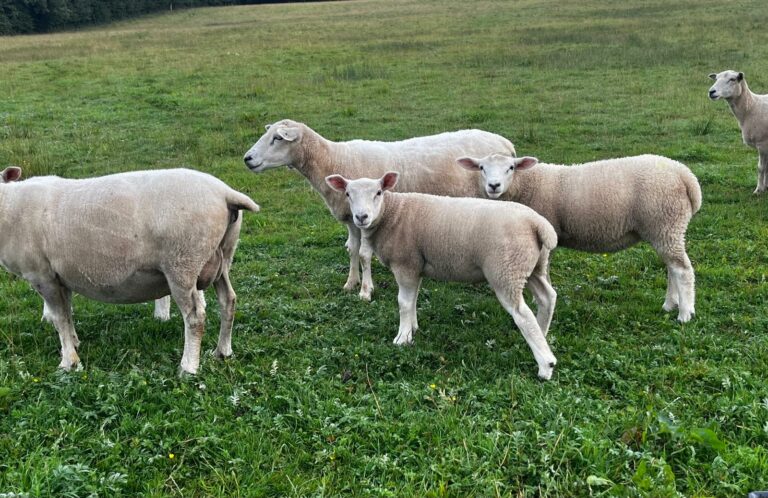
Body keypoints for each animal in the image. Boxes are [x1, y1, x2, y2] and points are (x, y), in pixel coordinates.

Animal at [0, 166, 259, 374]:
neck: (9, 207)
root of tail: (225, 193)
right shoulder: (60, 276)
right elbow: (67, 312)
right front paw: (74, 344)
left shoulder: (41, 275)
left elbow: (59, 318)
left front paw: (69, 363)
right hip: (222, 257)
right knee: (229, 300)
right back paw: (223, 352)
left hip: (183, 264)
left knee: (195, 316)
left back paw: (188, 367)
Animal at [243, 118, 514, 301]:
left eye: (277, 138)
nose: (247, 159)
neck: (332, 159)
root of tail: (504, 141)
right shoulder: (353, 219)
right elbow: (352, 251)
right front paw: (351, 283)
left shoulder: (369, 219)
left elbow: (364, 255)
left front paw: (366, 290)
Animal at [325, 171, 559, 380]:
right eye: (348, 194)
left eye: (379, 192)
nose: (361, 217)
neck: (392, 214)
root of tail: (538, 224)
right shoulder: (416, 266)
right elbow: (413, 299)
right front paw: (413, 328)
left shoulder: (405, 263)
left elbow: (403, 302)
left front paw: (402, 337)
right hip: (532, 267)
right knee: (547, 297)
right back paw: (543, 332)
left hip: (506, 270)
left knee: (523, 315)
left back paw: (546, 366)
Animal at [457, 154, 701, 322]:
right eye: (481, 168)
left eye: (511, 168)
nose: (493, 186)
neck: (527, 184)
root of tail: (685, 175)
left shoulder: (546, 236)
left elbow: (544, 271)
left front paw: (541, 297)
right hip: (665, 229)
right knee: (672, 267)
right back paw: (670, 304)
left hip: (665, 222)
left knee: (682, 270)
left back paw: (685, 313)